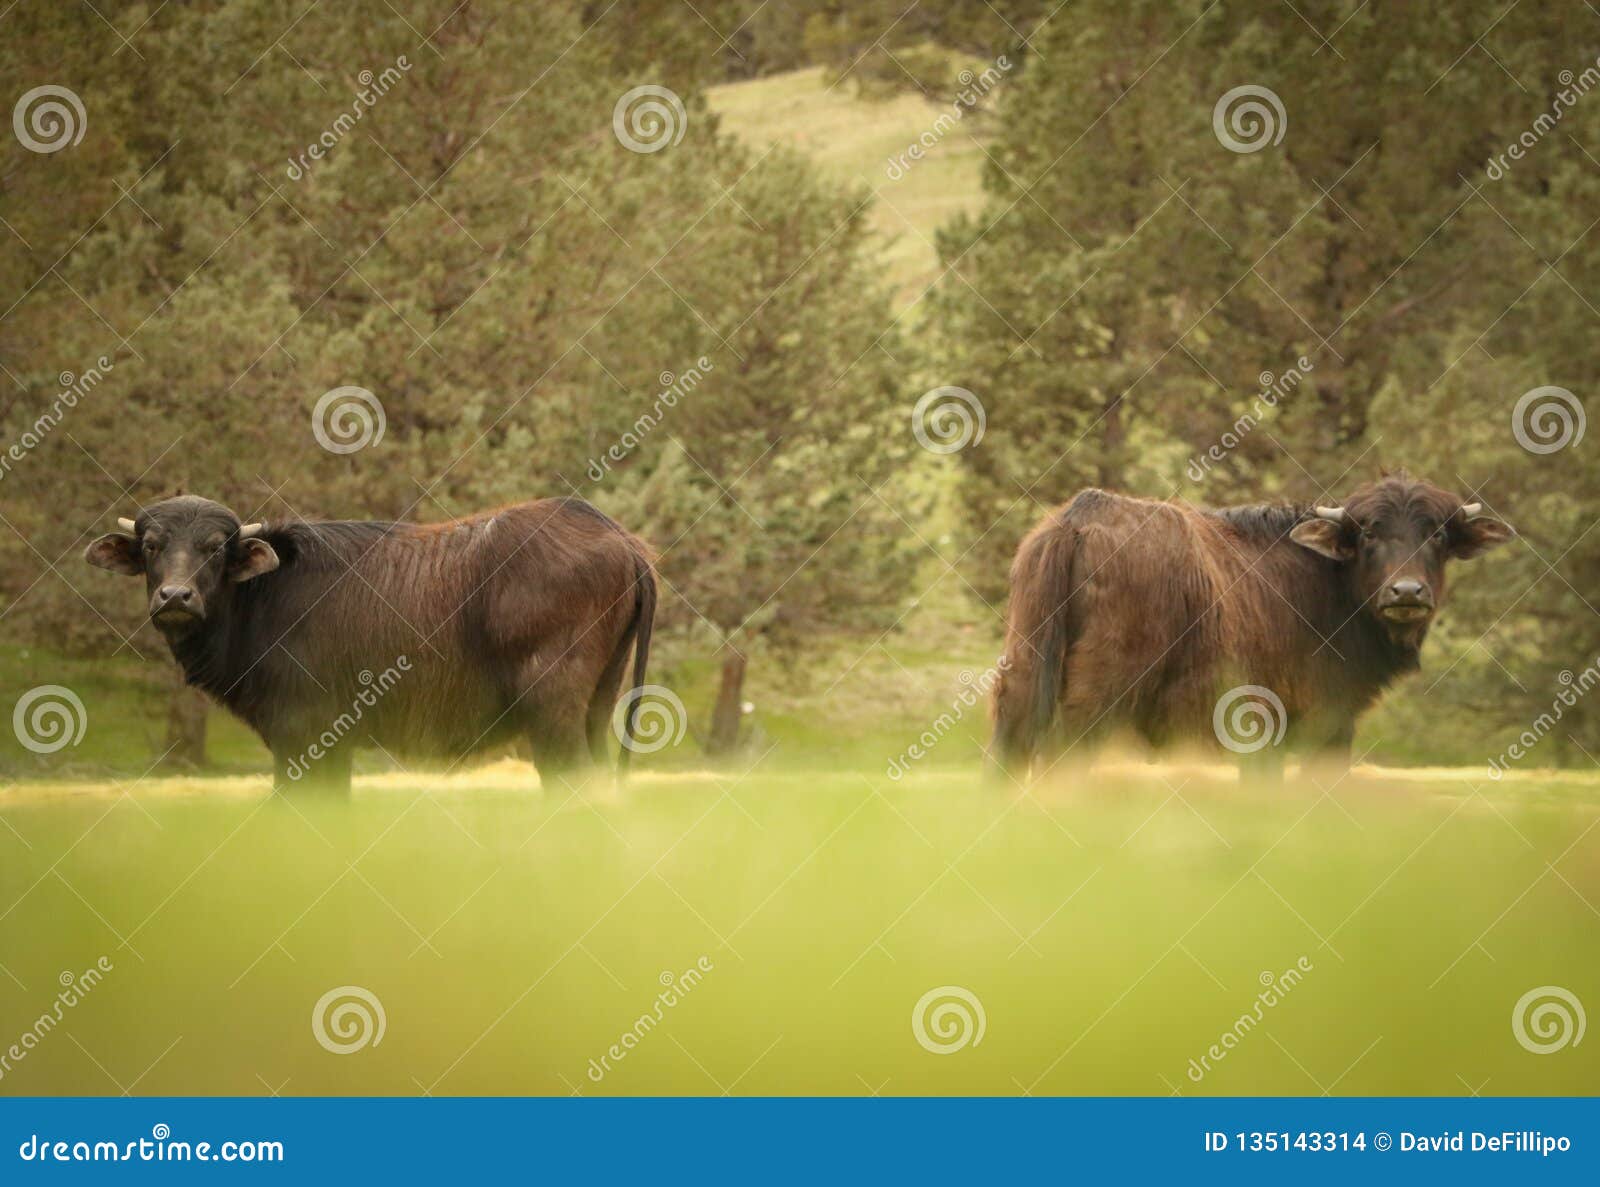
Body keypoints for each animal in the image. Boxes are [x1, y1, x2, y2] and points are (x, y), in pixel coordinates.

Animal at [85, 495, 656, 792]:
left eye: (214, 549)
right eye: (152, 546)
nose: (175, 596)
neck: (261, 599)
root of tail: (620, 539)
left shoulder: (301, 732)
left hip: (552, 709)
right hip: (597, 706)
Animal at [992, 475, 1514, 777]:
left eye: (1438, 533)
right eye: (1368, 531)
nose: (1407, 592)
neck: (1327, 585)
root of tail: (1080, 518)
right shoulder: (1317, 728)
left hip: (1021, 679)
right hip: (1096, 699)